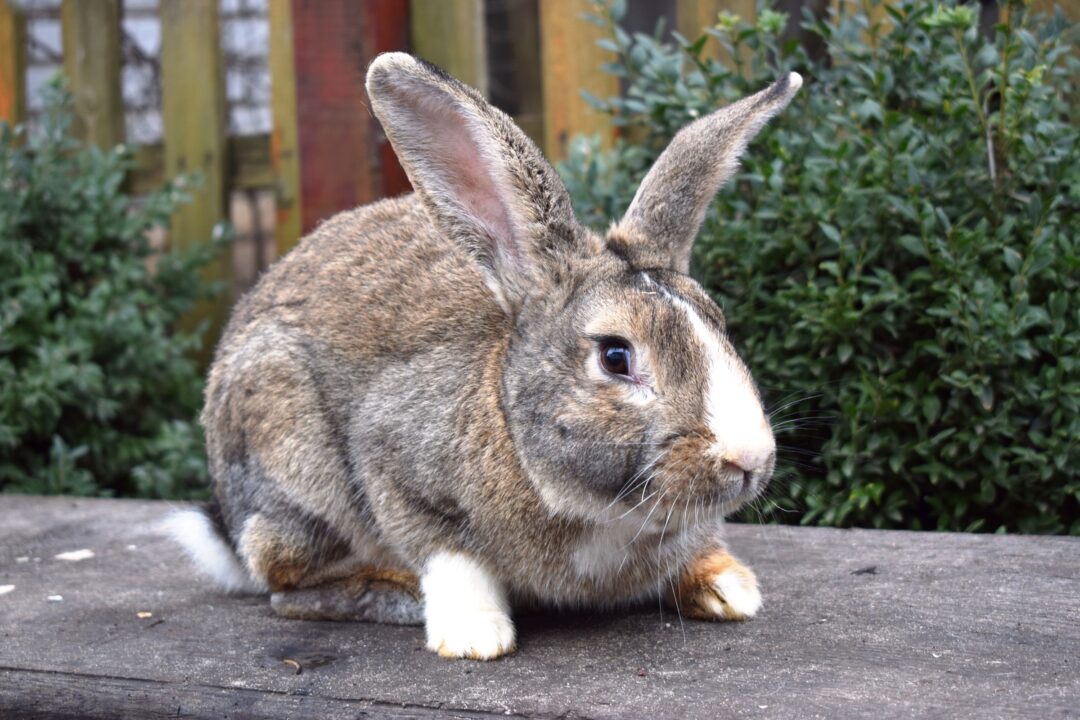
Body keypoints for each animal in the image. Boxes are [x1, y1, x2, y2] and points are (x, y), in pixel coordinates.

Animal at [164, 52, 801, 660]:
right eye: (616, 357)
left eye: (718, 323)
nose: (749, 458)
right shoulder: (394, 467)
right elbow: (450, 556)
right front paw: (475, 637)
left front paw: (728, 589)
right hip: (295, 459)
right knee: (286, 586)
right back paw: (393, 592)